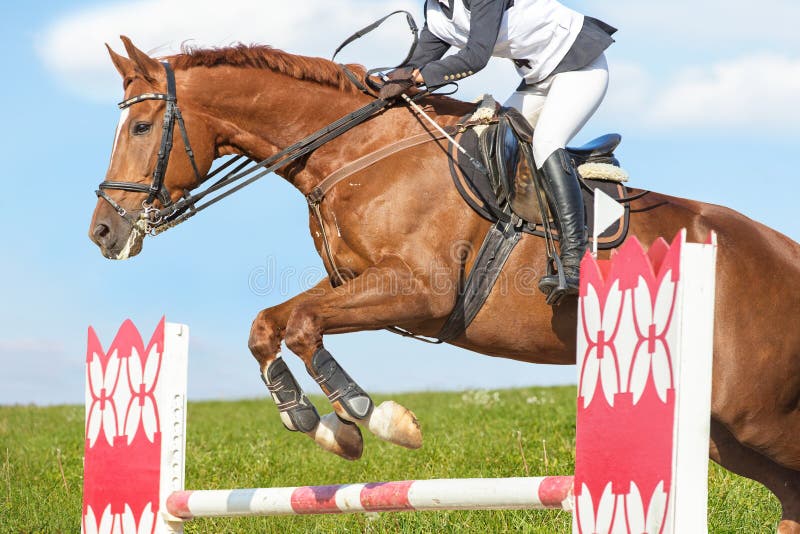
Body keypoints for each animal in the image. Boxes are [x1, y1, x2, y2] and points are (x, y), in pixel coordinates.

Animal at [88, 37, 800, 532]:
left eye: (143, 128)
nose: (102, 232)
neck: (356, 153)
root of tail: (784, 254)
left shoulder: (419, 294)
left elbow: (303, 325)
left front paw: (372, 417)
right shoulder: (357, 283)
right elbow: (271, 324)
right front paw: (318, 424)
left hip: (754, 414)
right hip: (725, 434)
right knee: (790, 492)